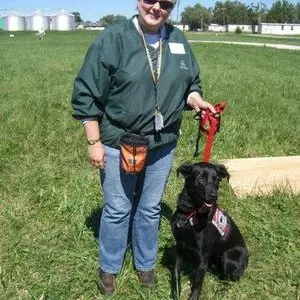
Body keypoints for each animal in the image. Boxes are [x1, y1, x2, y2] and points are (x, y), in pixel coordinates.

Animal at [171, 163, 248, 298]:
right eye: (201, 178)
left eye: (217, 180)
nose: (213, 196)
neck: (191, 214)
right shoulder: (179, 248)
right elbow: (176, 275)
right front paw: (176, 295)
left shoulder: (203, 256)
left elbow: (197, 283)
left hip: (228, 257)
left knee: (231, 280)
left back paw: (220, 293)